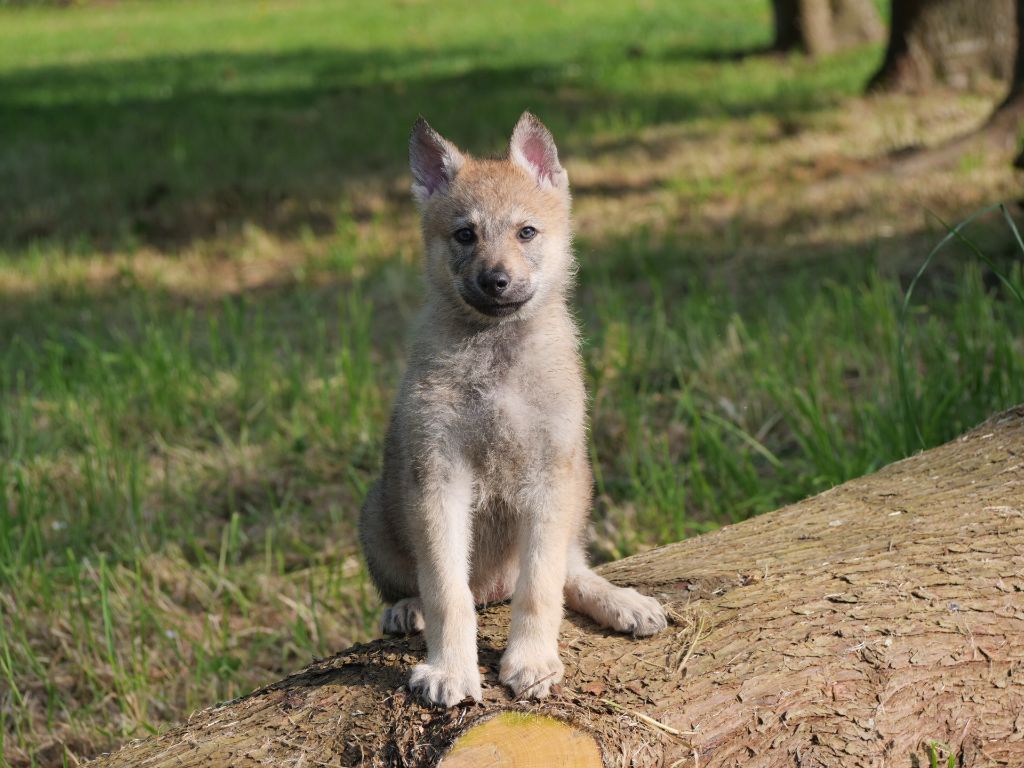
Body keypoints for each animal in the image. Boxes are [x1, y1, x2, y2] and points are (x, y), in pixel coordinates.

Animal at [358, 112, 667, 707]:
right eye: (465, 234)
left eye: (526, 232)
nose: (495, 281)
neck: (496, 357)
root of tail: (493, 587)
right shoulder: (439, 478)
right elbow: (446, 591)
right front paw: (451, 669)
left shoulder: (549, 477)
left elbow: (540, 586)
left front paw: (531, 660)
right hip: (377, 517)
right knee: (419, 586)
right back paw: (406, 608)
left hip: (578, 490)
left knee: (570, 570)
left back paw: (621, 601)